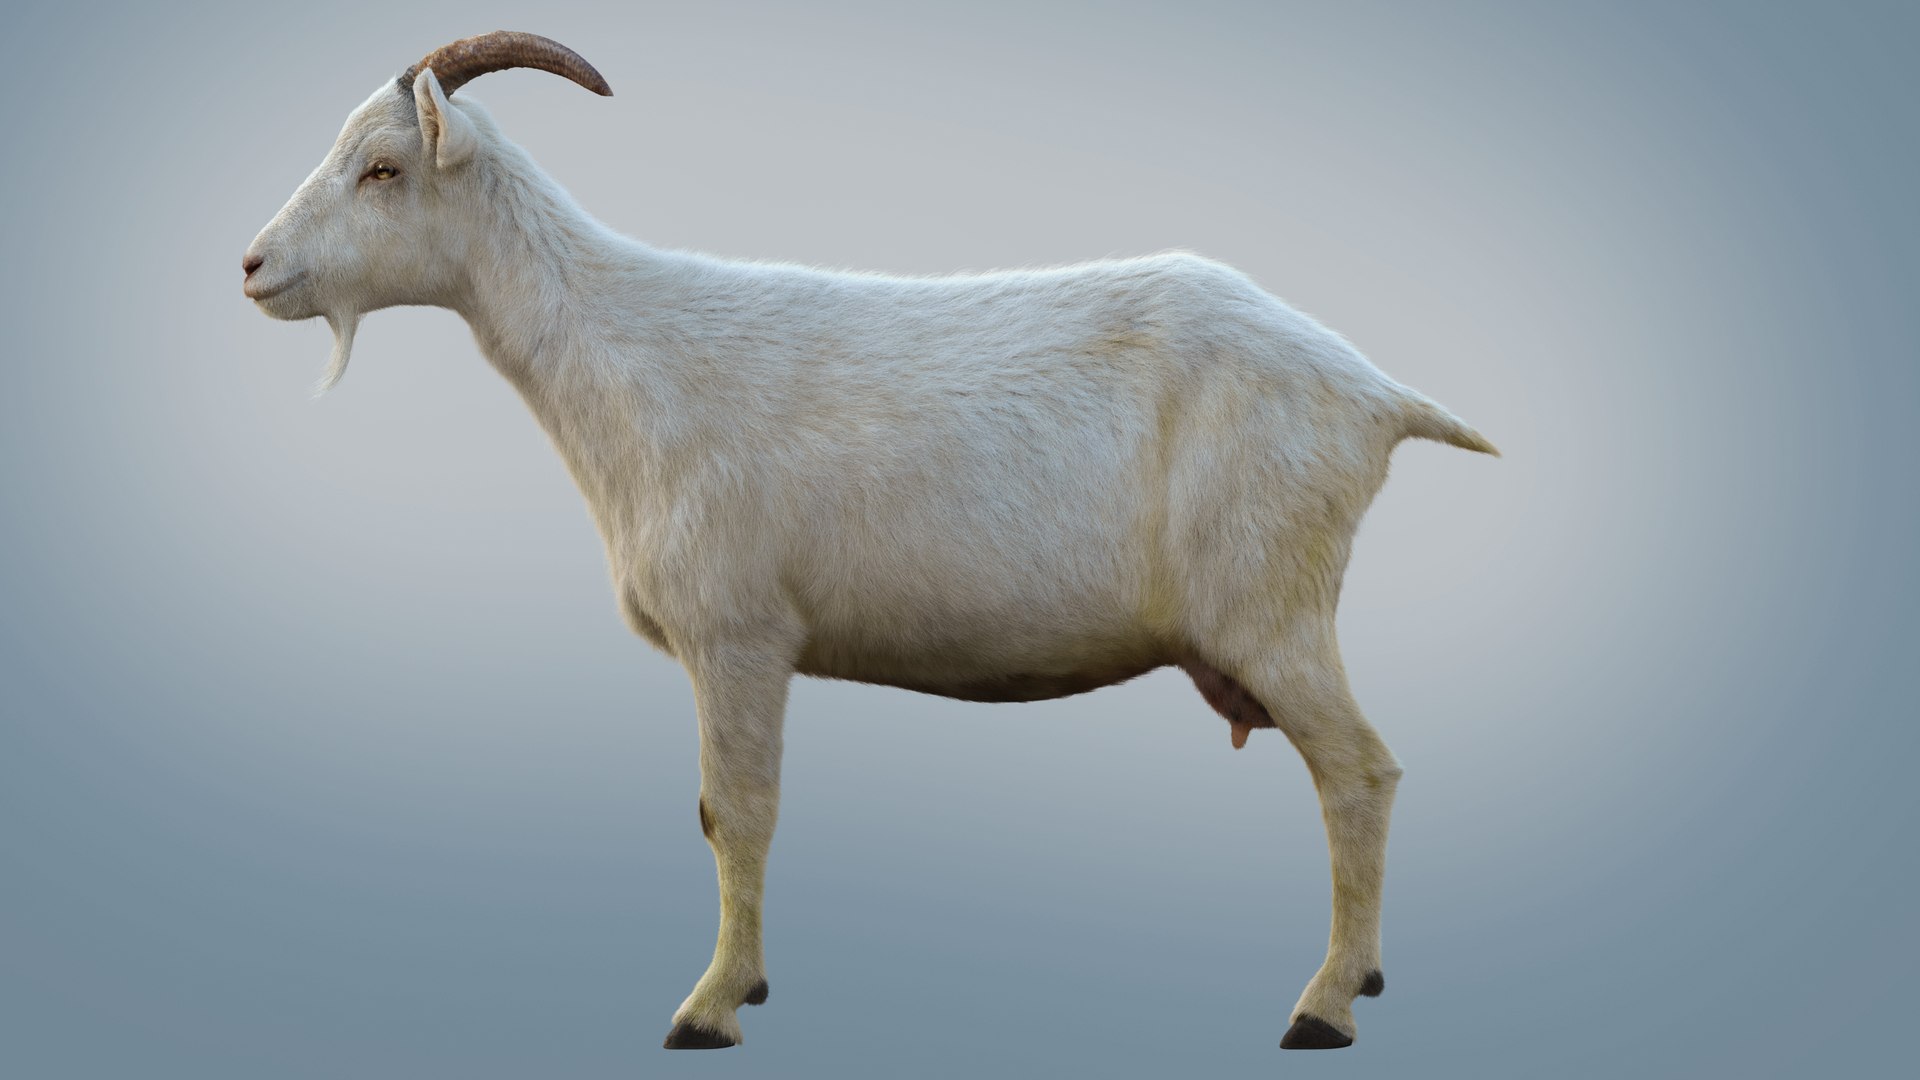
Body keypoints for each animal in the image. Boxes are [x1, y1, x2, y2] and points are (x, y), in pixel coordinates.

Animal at [243, 31, 1497, 1051]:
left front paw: (710, 1007)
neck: (626, 353)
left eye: (383, 168)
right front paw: (738, 988)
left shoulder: (740, 636)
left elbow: (733, 813)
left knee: (1360, 774)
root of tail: (1375, 393)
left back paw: (1325, 1006)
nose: (252, 267)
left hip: (1273, 602)